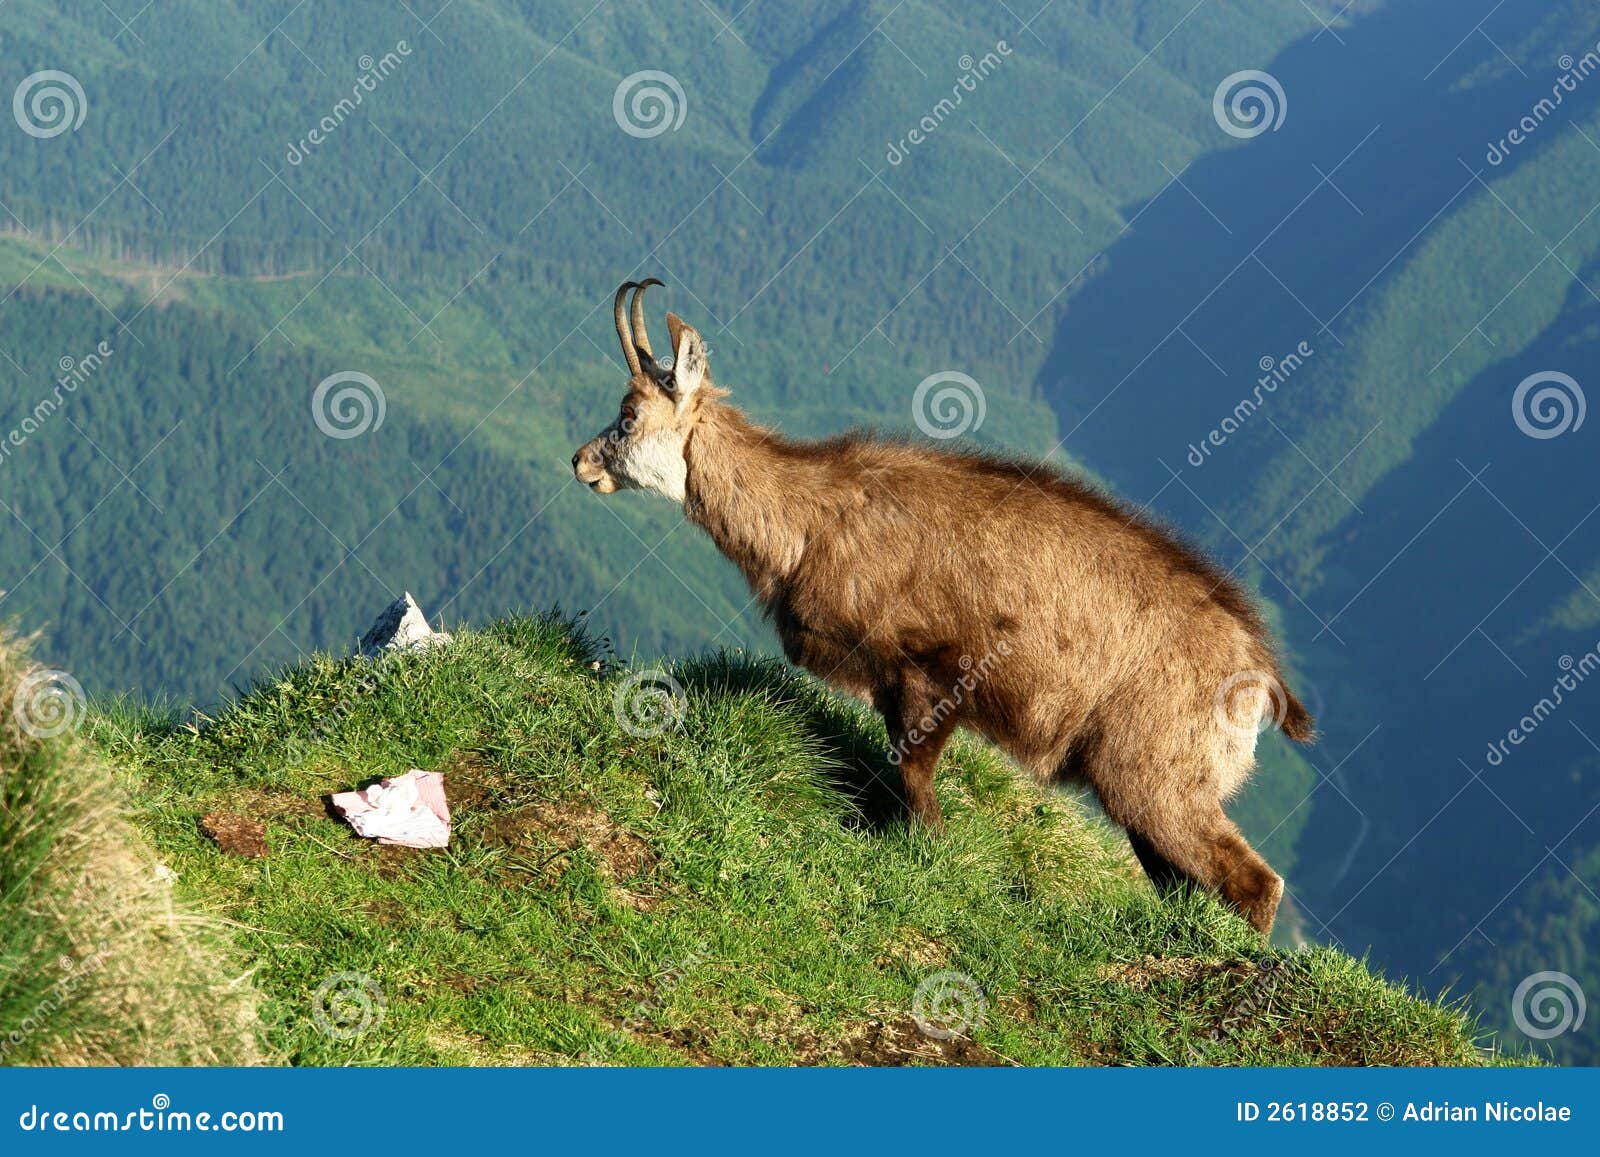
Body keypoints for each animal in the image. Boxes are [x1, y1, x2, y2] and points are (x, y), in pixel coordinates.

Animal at [572, 281, 1315, 935]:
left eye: (628, 417)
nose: (581, 463)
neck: (813, 519)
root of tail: (1263, 676)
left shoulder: (931, 671)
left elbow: (916, 780)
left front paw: (922, 854)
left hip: (1156, 776)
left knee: (1254, 881)